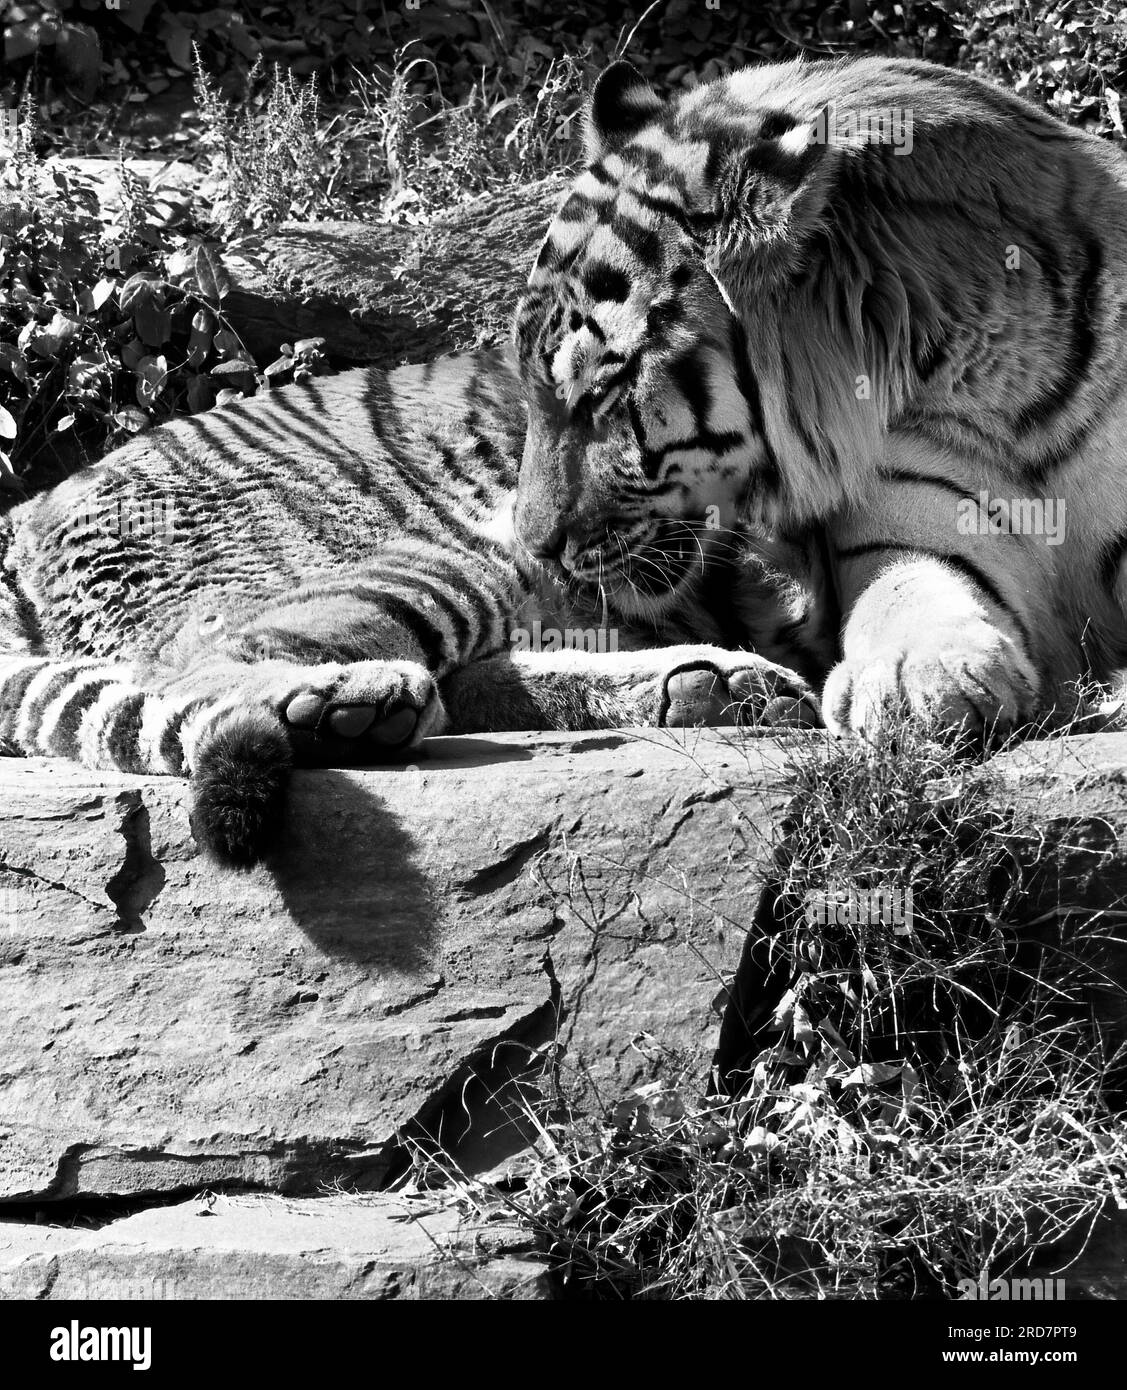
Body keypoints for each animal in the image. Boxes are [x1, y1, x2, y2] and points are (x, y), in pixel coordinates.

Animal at [0, 347, 825, 864]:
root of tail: (30, 507)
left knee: (466, 685)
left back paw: (716, 686)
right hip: (457, 552)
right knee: (205, 664)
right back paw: (346, 708)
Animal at [513, 54, 1127, 744]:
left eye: (601, 392)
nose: (535, 551)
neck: (997, 370)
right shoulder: (915, 511)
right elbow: (906, 585)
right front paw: (912, 679)